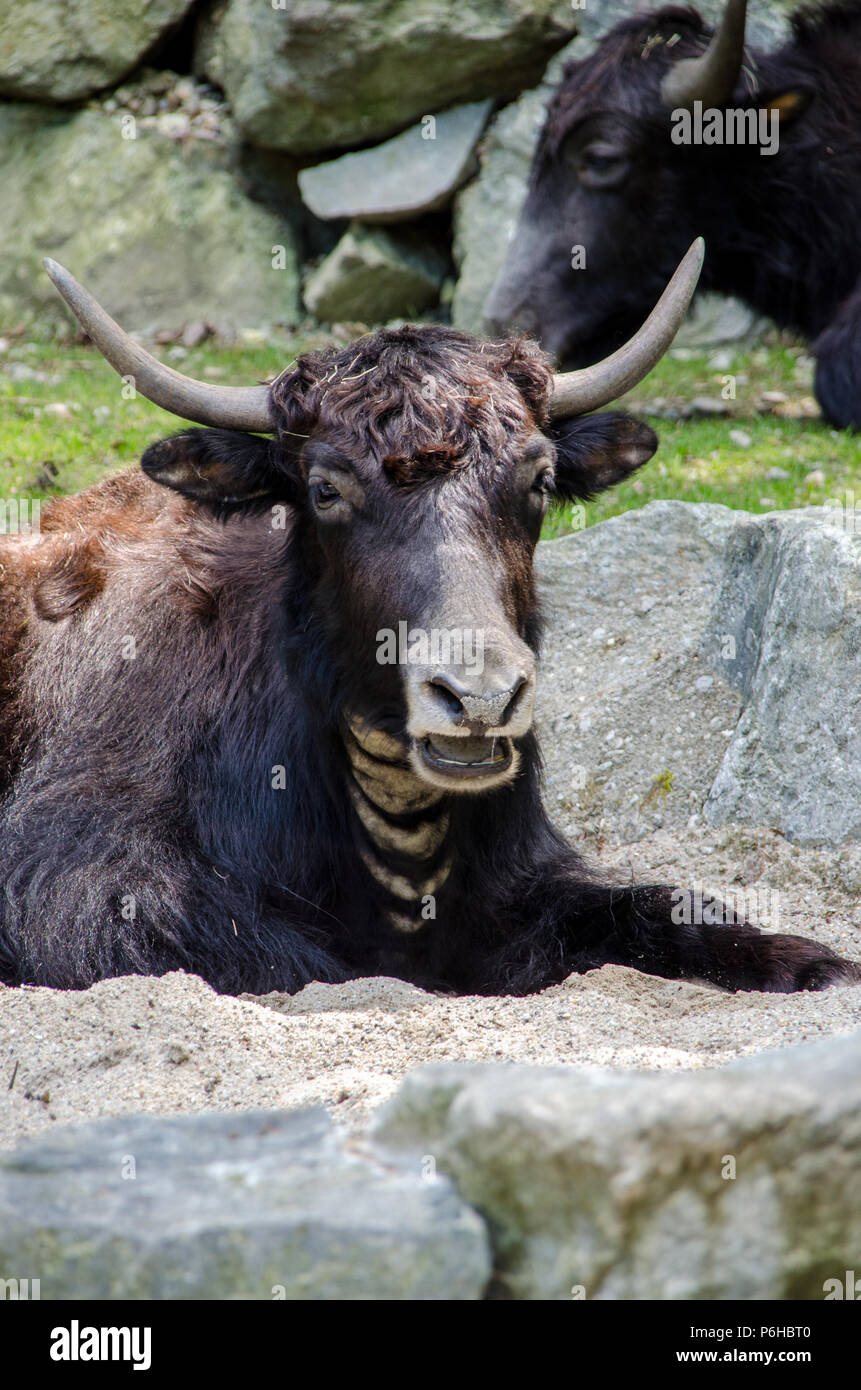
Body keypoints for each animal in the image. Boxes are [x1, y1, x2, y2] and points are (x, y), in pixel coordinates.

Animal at [0, 247, 857, 997]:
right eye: (323, 488)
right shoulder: (91, 884)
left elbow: (665, 904)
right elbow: (292, 956)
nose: (479, 700)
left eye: (538, 478)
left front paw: (813, 965)